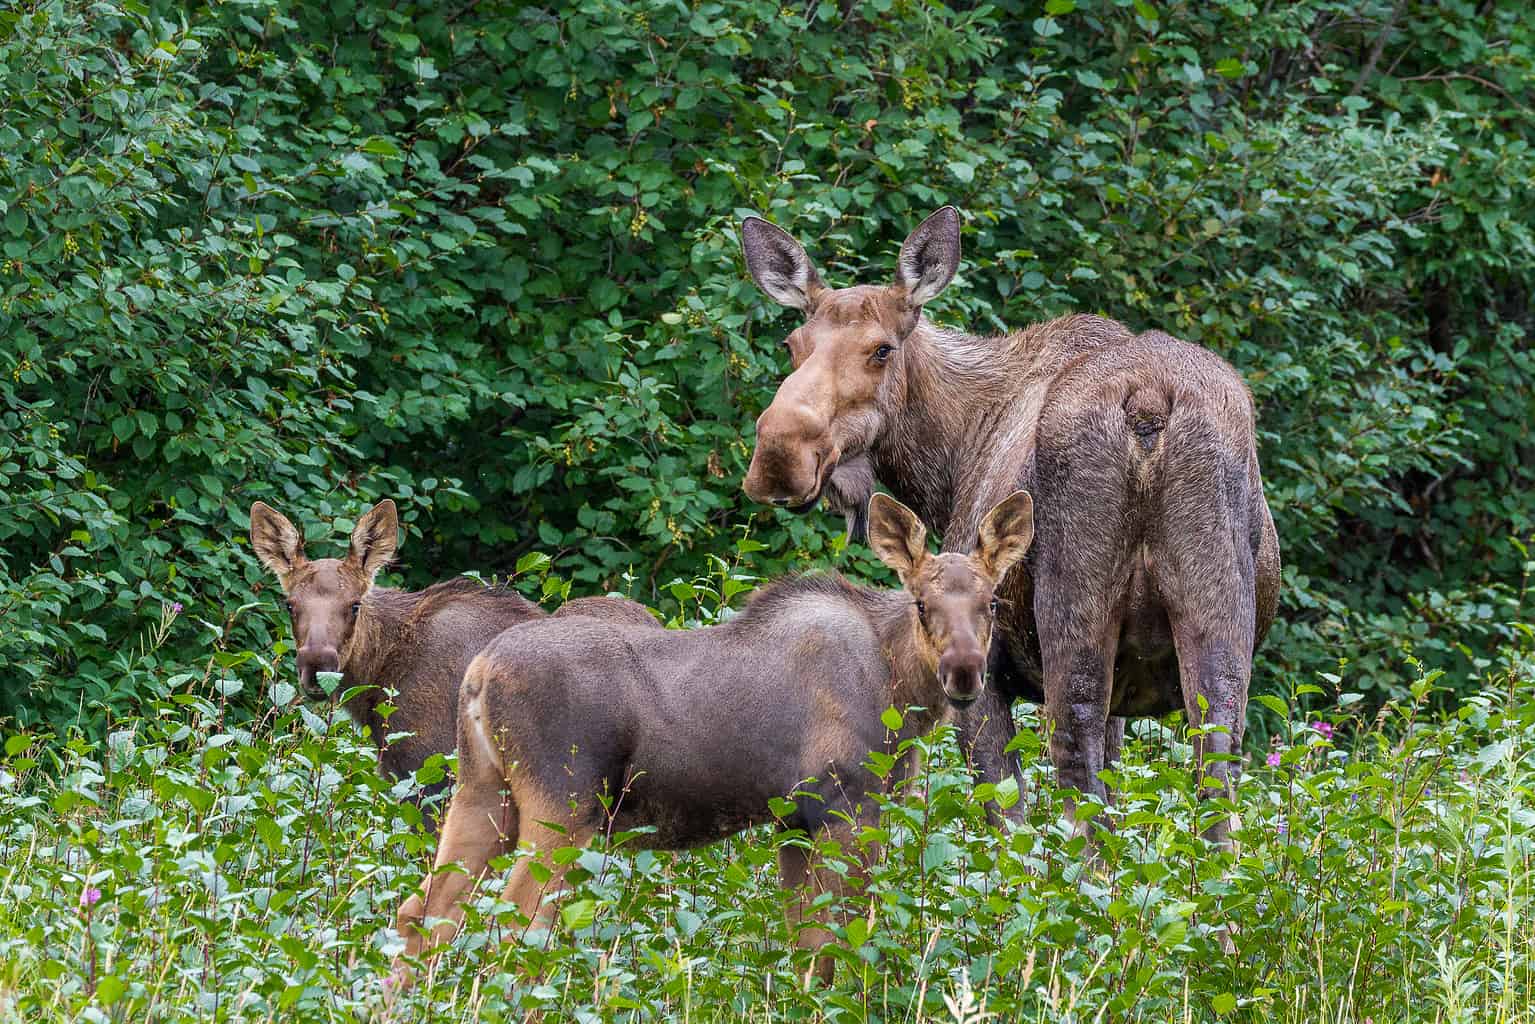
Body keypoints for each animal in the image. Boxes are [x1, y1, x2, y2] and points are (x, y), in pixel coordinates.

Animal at [389, 490, 1035, 990]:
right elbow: (837, 944)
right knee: (517, 925)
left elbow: (804, 945)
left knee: (423, 912)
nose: (964, 672)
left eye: (992, 601)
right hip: (563, 806)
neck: (898, 685)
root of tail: (478, 675)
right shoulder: (843, 806)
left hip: (482, 792)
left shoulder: (793, 822)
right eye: (922, 602)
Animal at [738, 206, 1281, 845]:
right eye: (792, 344)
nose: (780, 453)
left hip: (1072, 608)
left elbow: (1004, 814)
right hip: (1216, 614)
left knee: (1076, 767)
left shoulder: (982, 674)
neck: (949, 459)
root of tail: (1147, 404)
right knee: (1215, 768)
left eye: (882, 350)